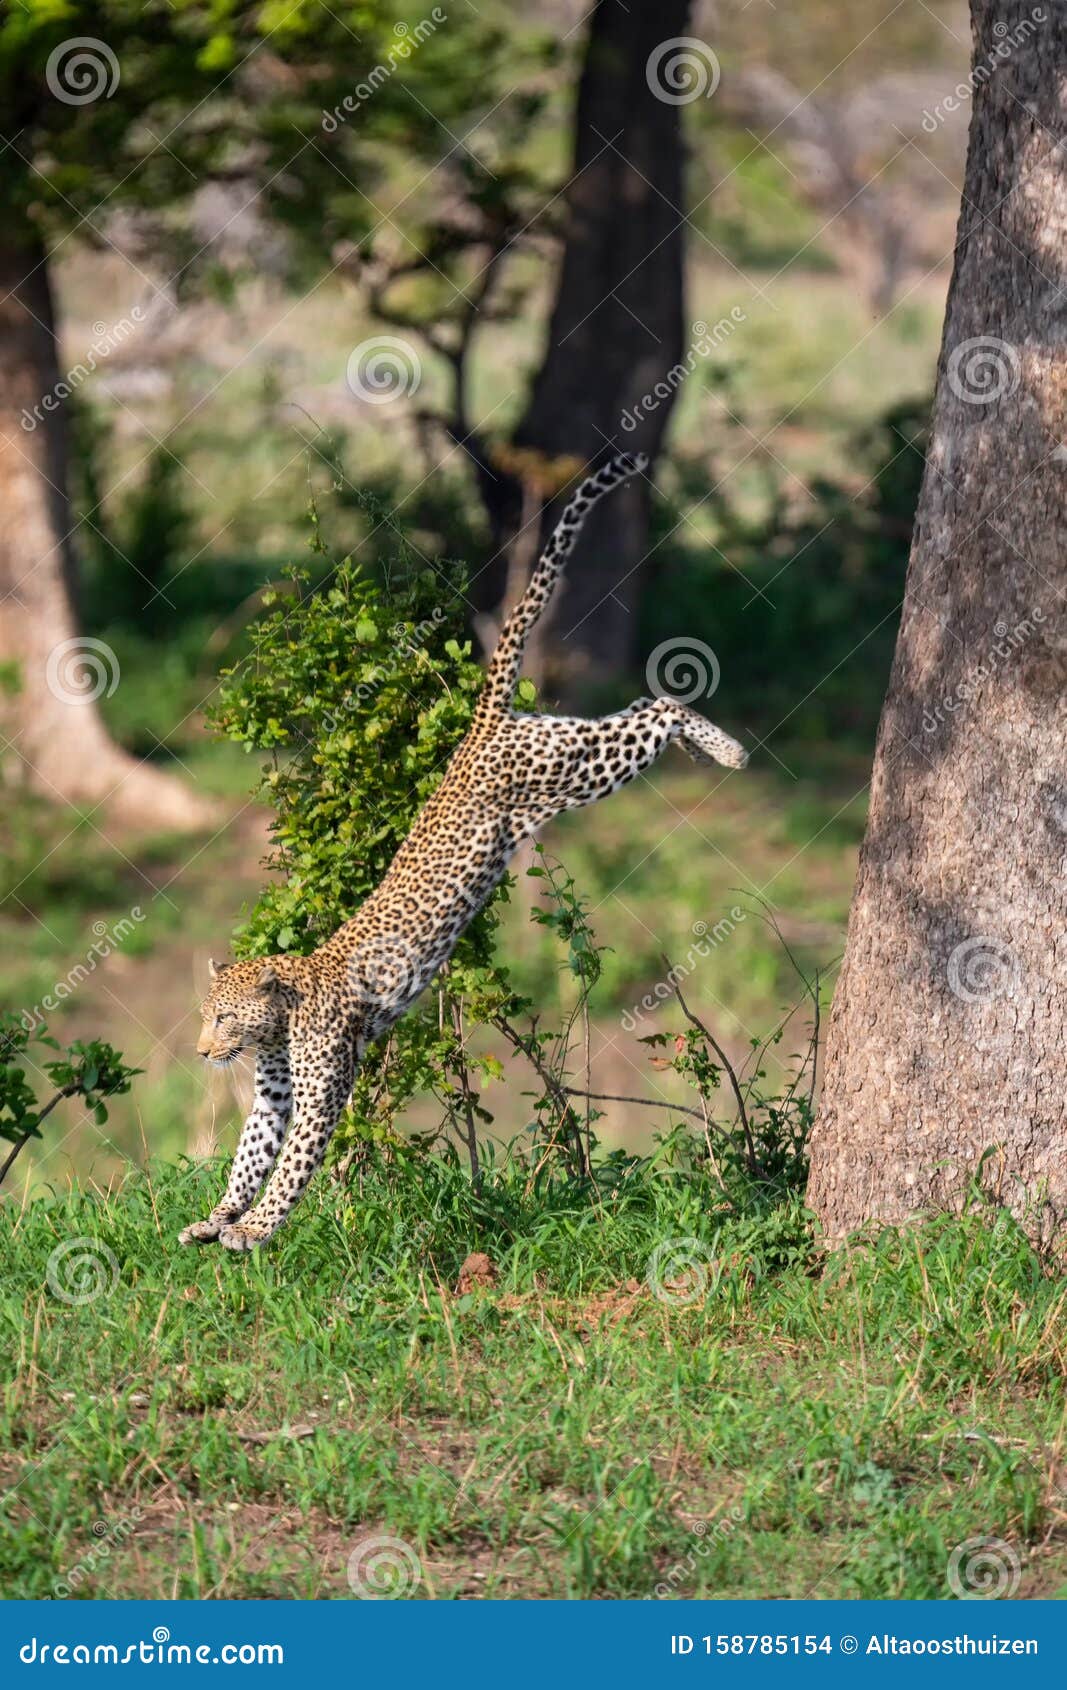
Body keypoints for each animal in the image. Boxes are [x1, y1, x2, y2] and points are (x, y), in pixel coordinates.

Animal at [181, 451, 747, 1252]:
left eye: (225, 1019)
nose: (202, 1052)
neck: (282, 1021)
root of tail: (479, 729)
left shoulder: (319, 1094)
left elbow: (289, 1169)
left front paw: (255, 1228)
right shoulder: (273, 1096)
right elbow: (249, 1155)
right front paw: (219, 1216)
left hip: (577, 769)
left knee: (657, 708)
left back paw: (725, 750)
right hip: (569, 747)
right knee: (638, 707)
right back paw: (709, 750)